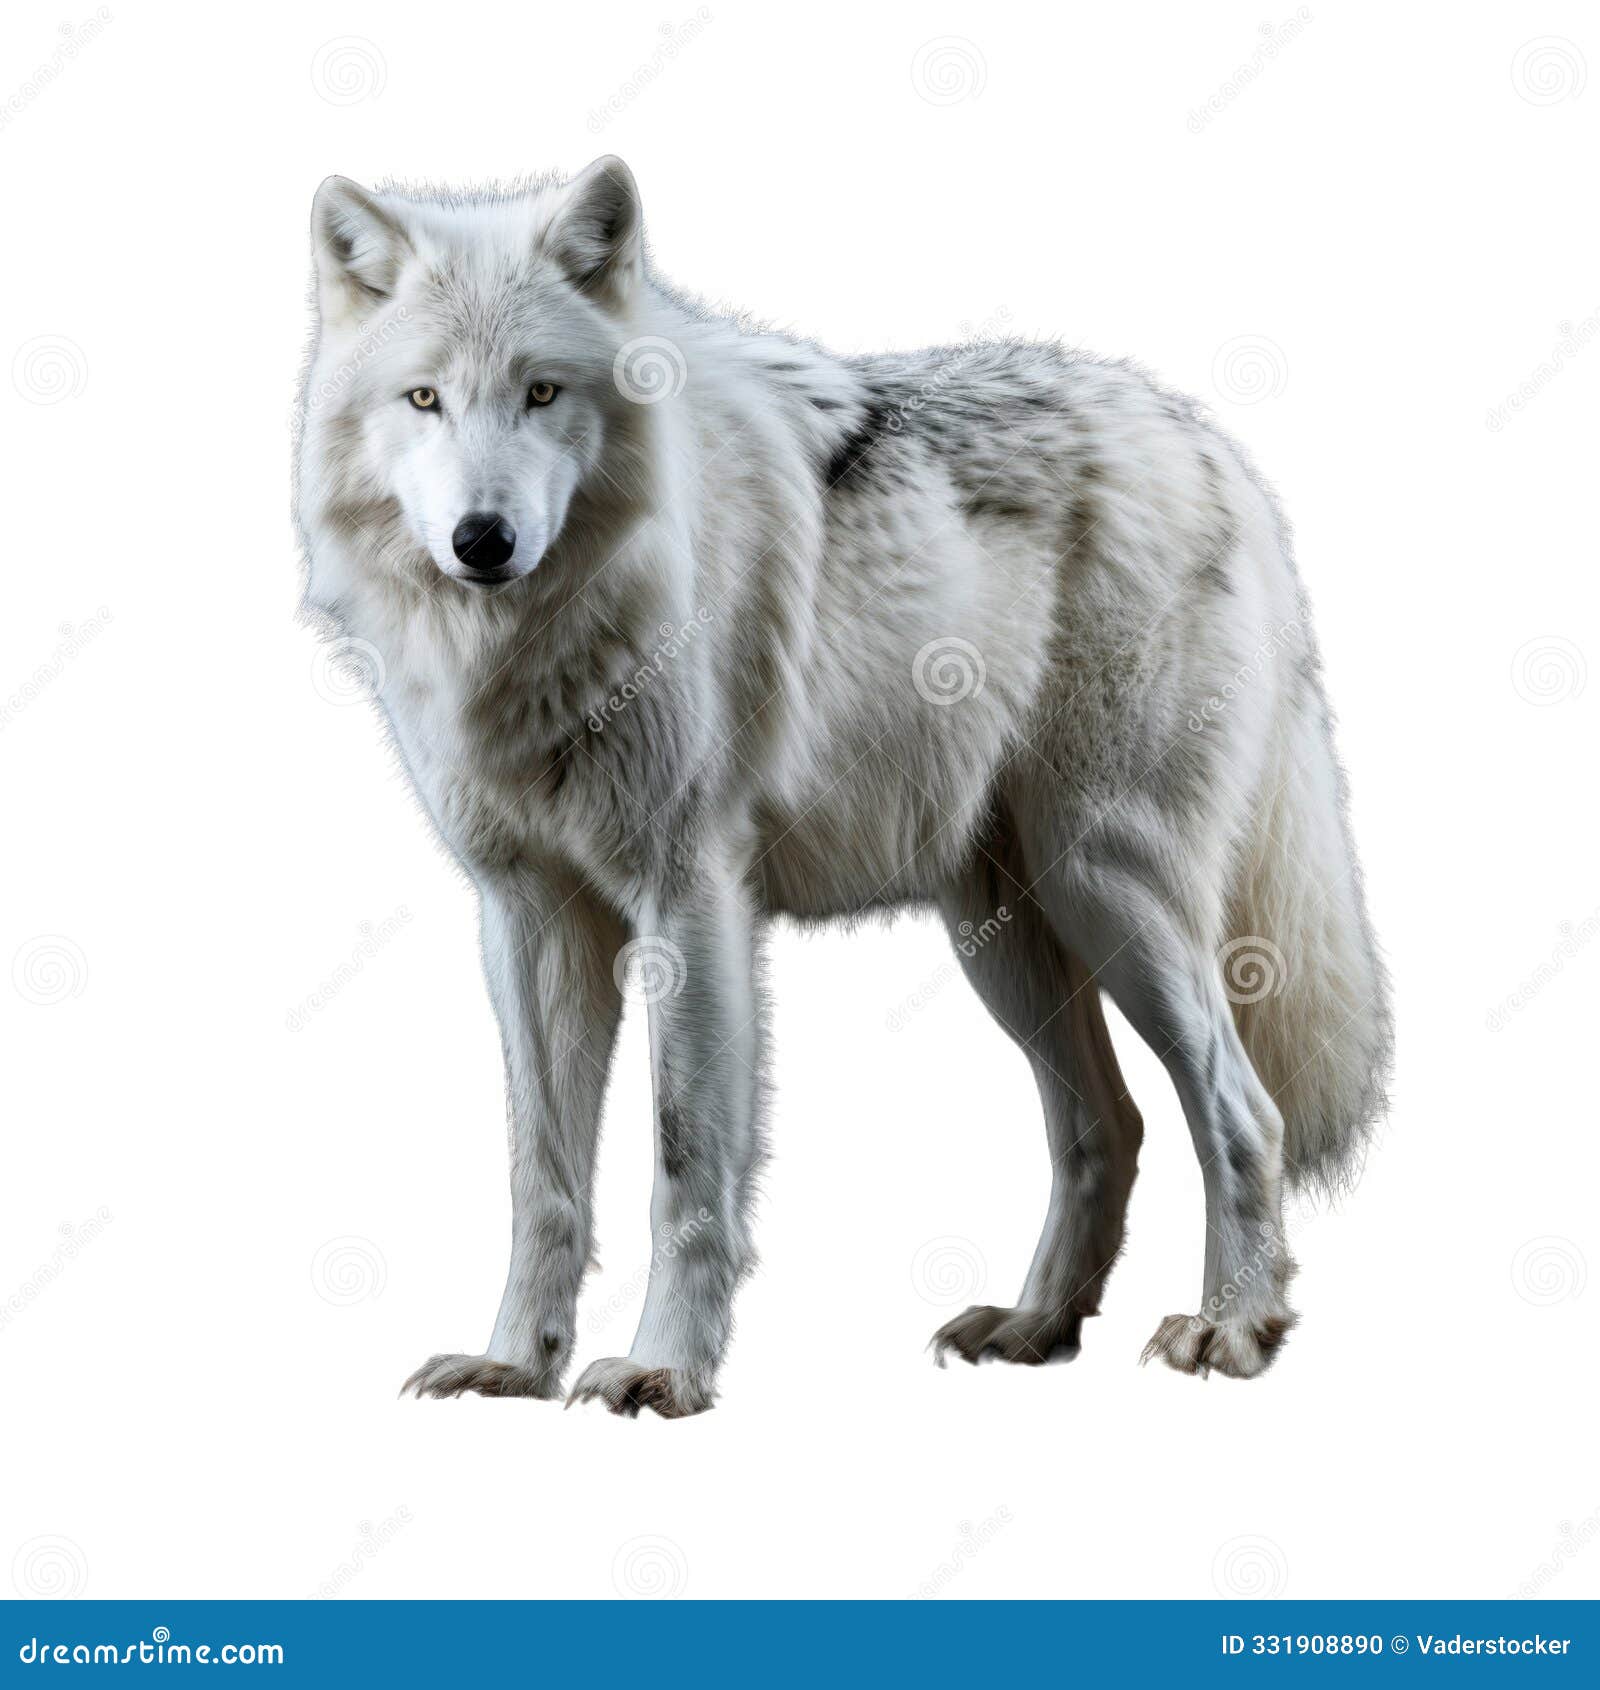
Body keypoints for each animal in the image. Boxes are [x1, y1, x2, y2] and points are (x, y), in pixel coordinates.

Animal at [294, 157, 1391, 1417]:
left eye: (540, 392)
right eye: (424, 399)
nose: (483, 539)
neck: (545, 635)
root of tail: (1211, 447)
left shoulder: (690, 899)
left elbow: (683, 1159)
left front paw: (664, 1366)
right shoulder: (529, 916)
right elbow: (542, 1174)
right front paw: (517, 1362)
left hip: (1113, 889)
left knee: (1238, 1107)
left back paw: (1232, 1328)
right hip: (1006, 938)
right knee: (1104, 1124)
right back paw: (1035, 1325)